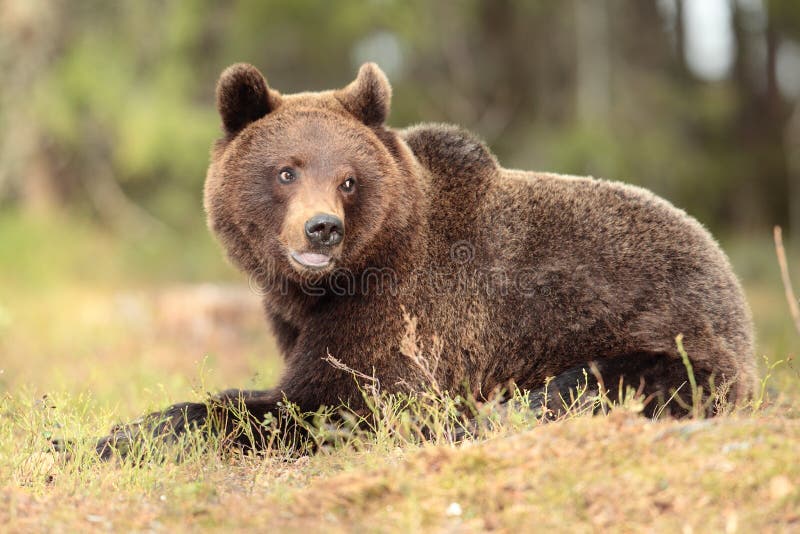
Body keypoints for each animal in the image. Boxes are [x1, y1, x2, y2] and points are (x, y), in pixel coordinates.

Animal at [95, 62, 756, 458]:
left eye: (349, 179)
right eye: (286, 171)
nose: (322, 229)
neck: (333, 285)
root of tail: (732, 287)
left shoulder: (407, 312)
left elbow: (337, 402)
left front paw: (124, 435)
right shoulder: (301, 320)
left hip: (666, 342)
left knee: (577, 389)